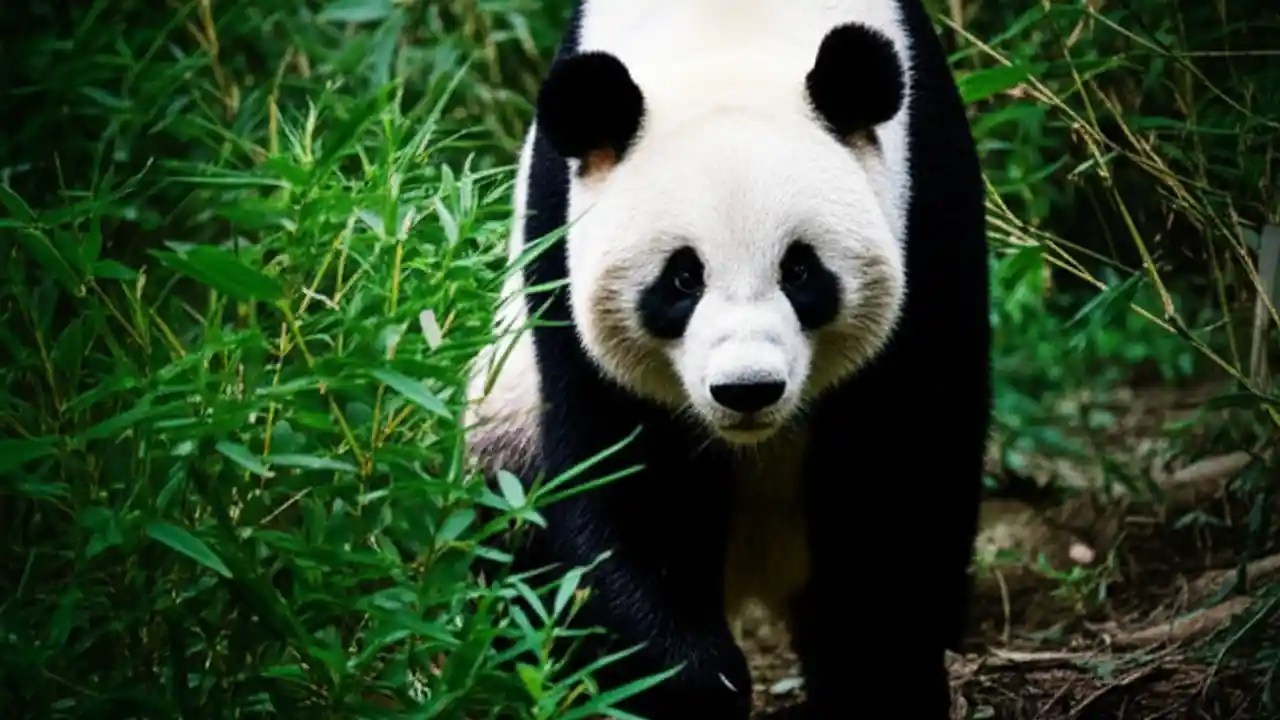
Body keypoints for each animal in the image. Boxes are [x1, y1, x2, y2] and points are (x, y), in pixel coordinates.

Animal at [465, 1, 990, 717]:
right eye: (683, 278)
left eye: (800, 269)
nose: (748, 389)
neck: (729, 29)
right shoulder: (557, 238)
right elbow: (614, 470)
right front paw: (691, 682)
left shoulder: (927, 189)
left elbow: (906, 459)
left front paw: (873, 675)